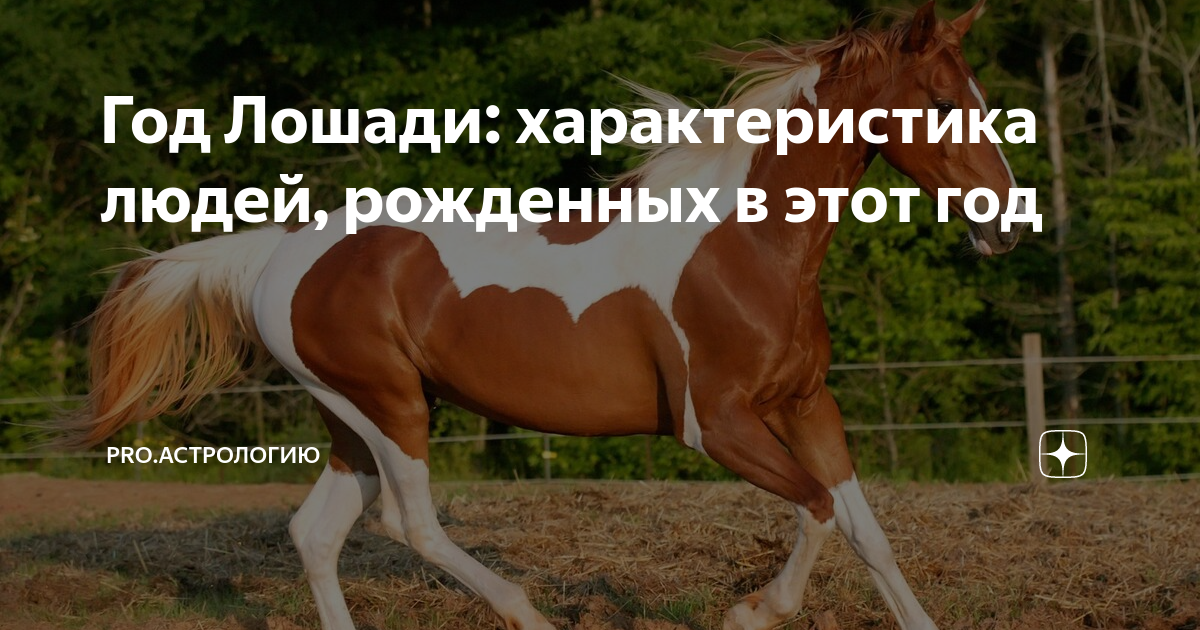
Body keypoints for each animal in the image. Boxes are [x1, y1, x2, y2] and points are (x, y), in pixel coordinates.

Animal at [56, 1, 1026, 628]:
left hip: (353, 417)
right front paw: (751, 611)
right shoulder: (714, 423)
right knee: (407, 524)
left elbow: (867, 532)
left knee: (317, 532)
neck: (743, 246)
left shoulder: (806, 405)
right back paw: (530, 616)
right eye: (944, 105)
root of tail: (278, 253)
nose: (1006, 227)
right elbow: (819, 510)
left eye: (985, 103)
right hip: (389, 408)